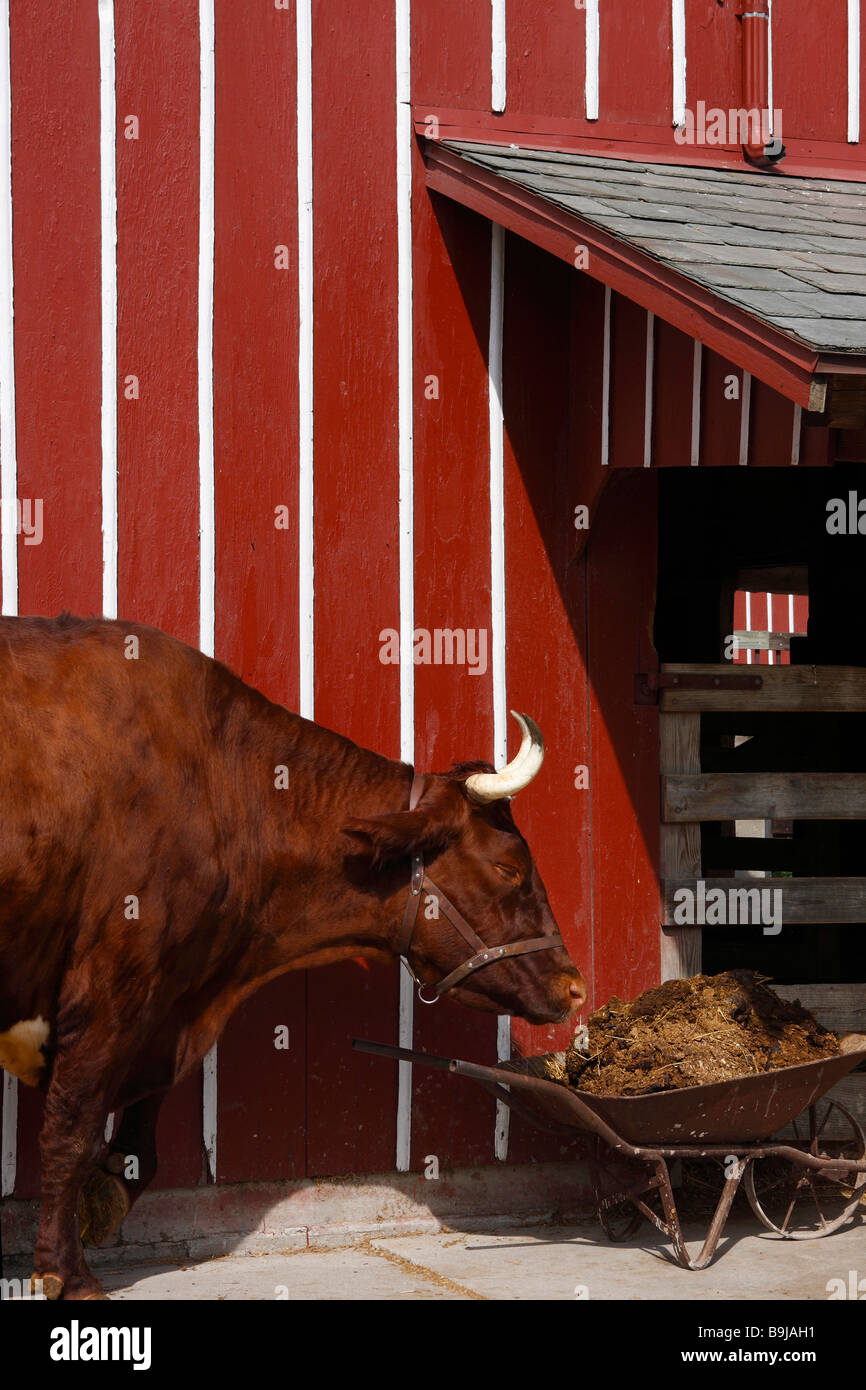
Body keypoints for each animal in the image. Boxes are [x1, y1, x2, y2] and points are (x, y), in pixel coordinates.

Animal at [0, 614, 585, 1299]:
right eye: (508, 867)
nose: (575, 986)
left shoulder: (160, 1002)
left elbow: (137, 1129)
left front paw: (108, 1194)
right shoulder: (110, 985)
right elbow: (70, 1130)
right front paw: (64, 1271)